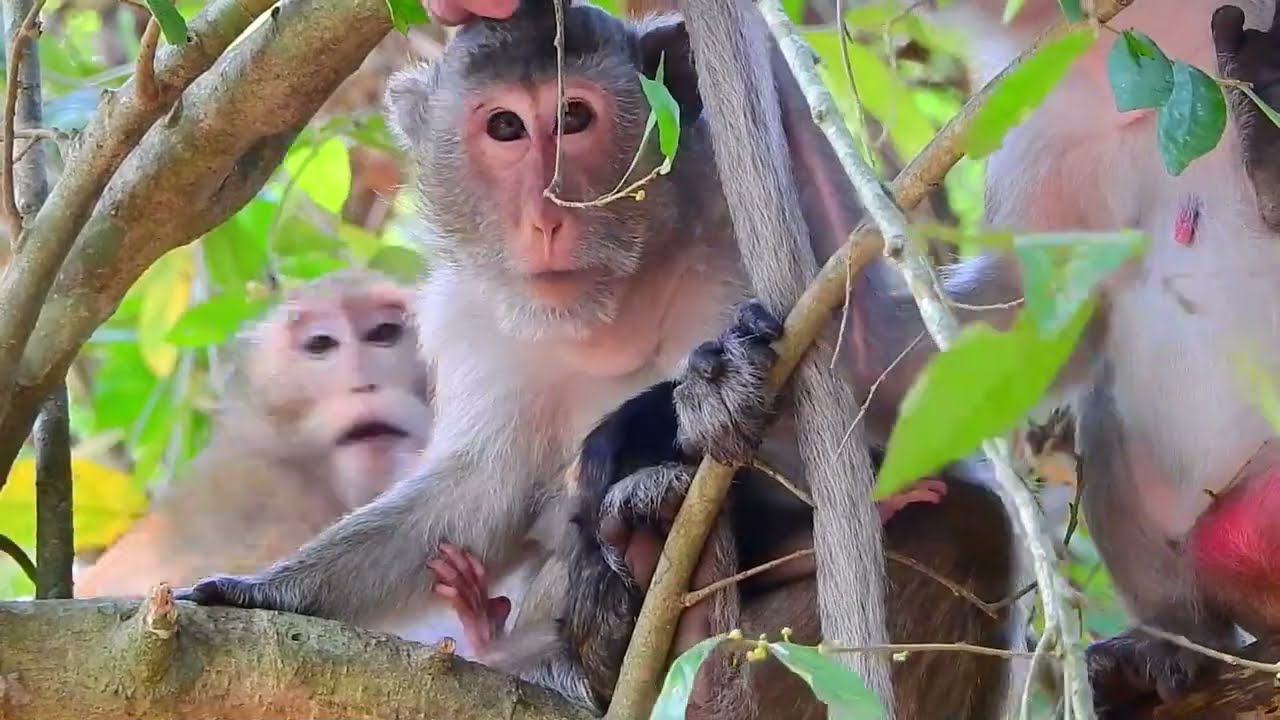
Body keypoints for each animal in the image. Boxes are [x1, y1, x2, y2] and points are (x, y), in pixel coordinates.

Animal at [173, 4, 1023, 716]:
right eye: (506, 127)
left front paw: (697, 397)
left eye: (574, 117)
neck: (609, 305)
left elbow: (883, 386)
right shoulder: (470, 315)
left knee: (961, 524)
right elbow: (480, 494)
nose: (548, 213)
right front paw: (263, 595)